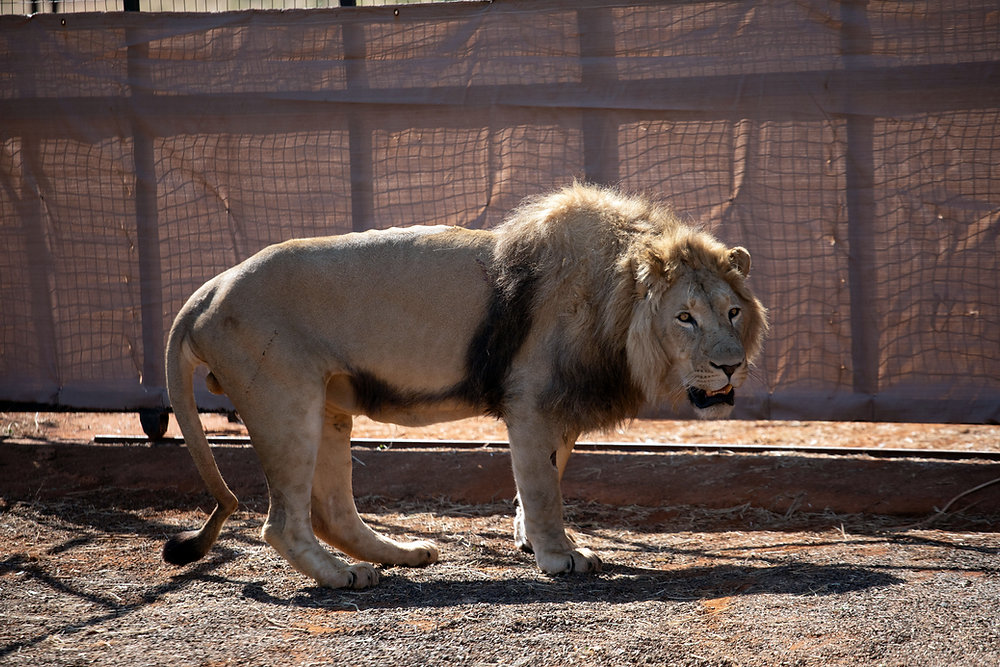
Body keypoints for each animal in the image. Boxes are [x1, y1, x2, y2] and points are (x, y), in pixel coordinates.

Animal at [162, 182, 767, 589]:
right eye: (685, 318)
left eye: (733, 312)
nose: (731, 366)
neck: (614, 300)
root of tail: (209, 288)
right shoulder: (531, 401)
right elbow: (543, 487)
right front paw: (560, 556)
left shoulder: (558, 406)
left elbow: (549, 474)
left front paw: (529, 537)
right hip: (287, 403)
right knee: (283, 523)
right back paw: (340, 576)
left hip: (330, 404)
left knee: (332, 509)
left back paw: (398, 555)